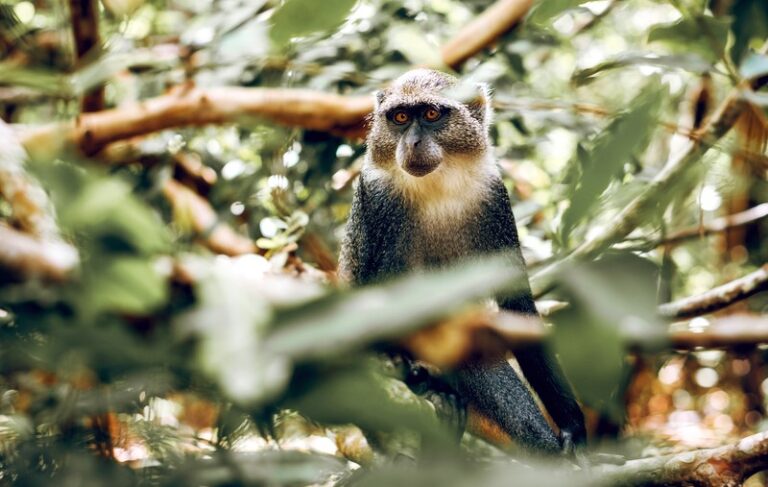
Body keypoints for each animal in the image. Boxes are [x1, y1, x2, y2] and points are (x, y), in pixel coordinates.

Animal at [338, 69, 586, 455]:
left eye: (430, 114)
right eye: (399, 117)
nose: (412, 143)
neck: (437, 186)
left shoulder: (494, 199)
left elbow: (517, 306)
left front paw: (573, 427)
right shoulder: (380, 202)